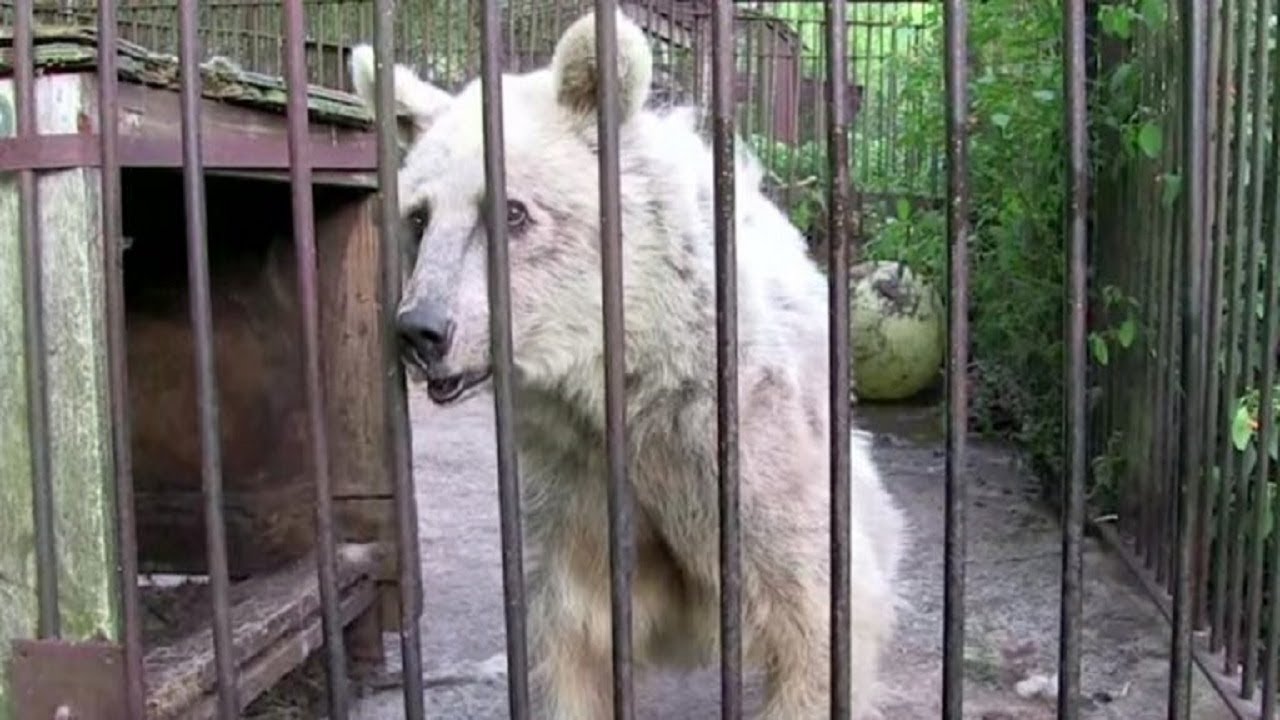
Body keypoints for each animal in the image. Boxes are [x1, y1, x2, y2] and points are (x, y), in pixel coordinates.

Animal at [349, 9, 906, 719]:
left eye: (511, 210)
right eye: (419, 217)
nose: (421, 330)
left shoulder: (746, 447)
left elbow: (817, 616)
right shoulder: (573, 484)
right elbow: (571, 640)